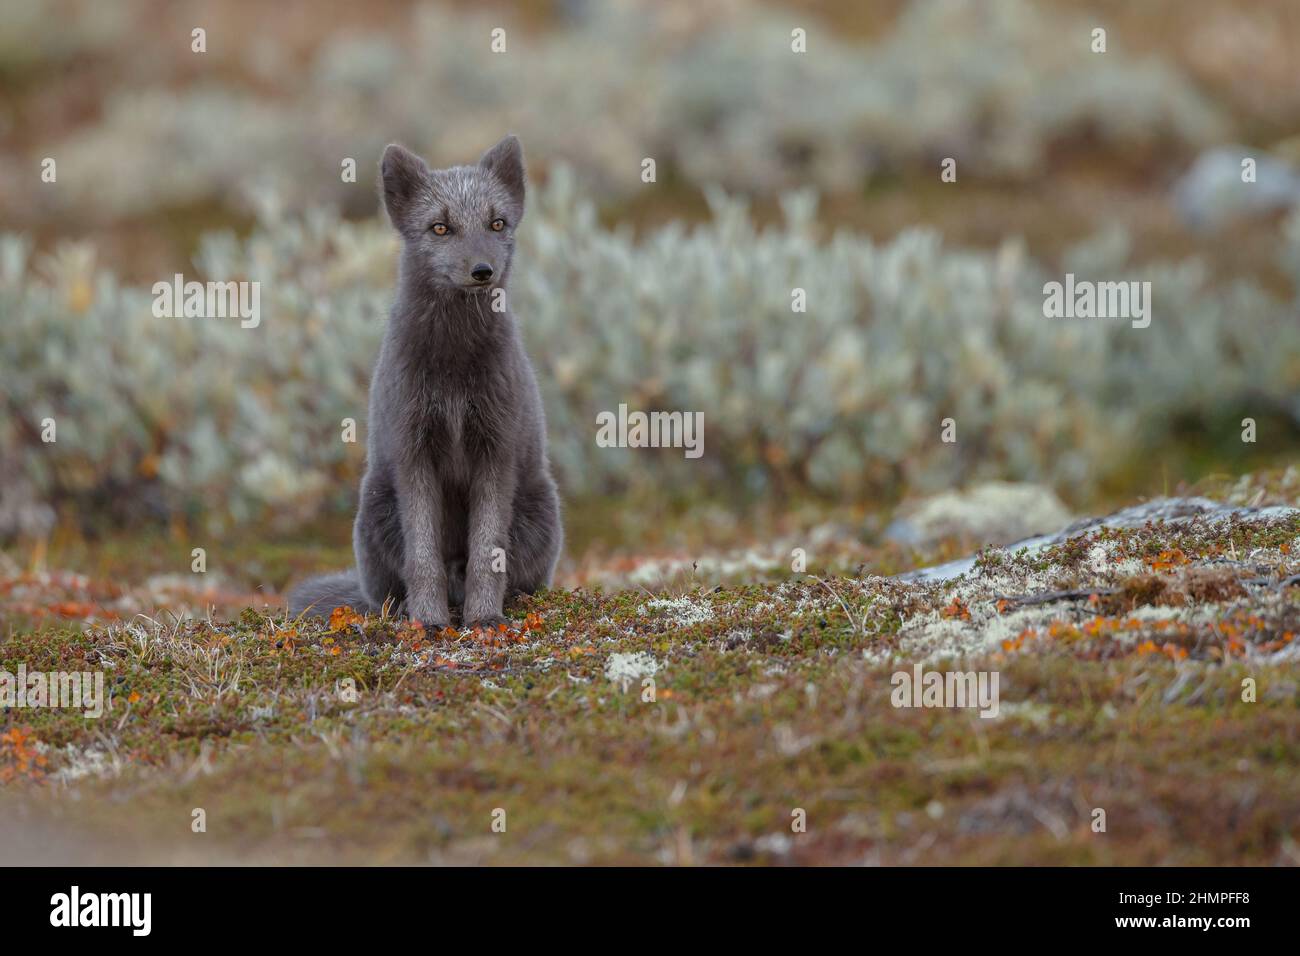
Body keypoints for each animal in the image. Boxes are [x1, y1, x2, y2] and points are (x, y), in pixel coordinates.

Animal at [287, 135, 563, 630]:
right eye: (440, 228)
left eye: (497, 223)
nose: (482, 270)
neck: (452, 366)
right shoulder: (413, 450)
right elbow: (423, 556)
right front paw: (430, 623)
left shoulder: (495, 450)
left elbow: (487, 551)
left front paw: (484, 618)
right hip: (376, 505)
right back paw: (405, 611)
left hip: (539, 507)